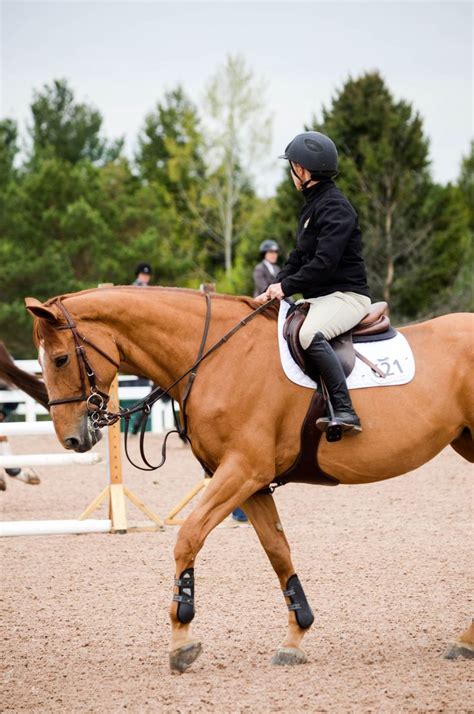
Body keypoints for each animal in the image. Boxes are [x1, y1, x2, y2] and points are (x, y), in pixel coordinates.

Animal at [25, 286, 474, 670]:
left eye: (60, 359)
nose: (71, 439)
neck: (217, 356)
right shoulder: (252, 484)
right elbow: (278, 552)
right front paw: (295, 638)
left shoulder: (241, 470)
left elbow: (188, 536)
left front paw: (181, 636)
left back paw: (464, 640)